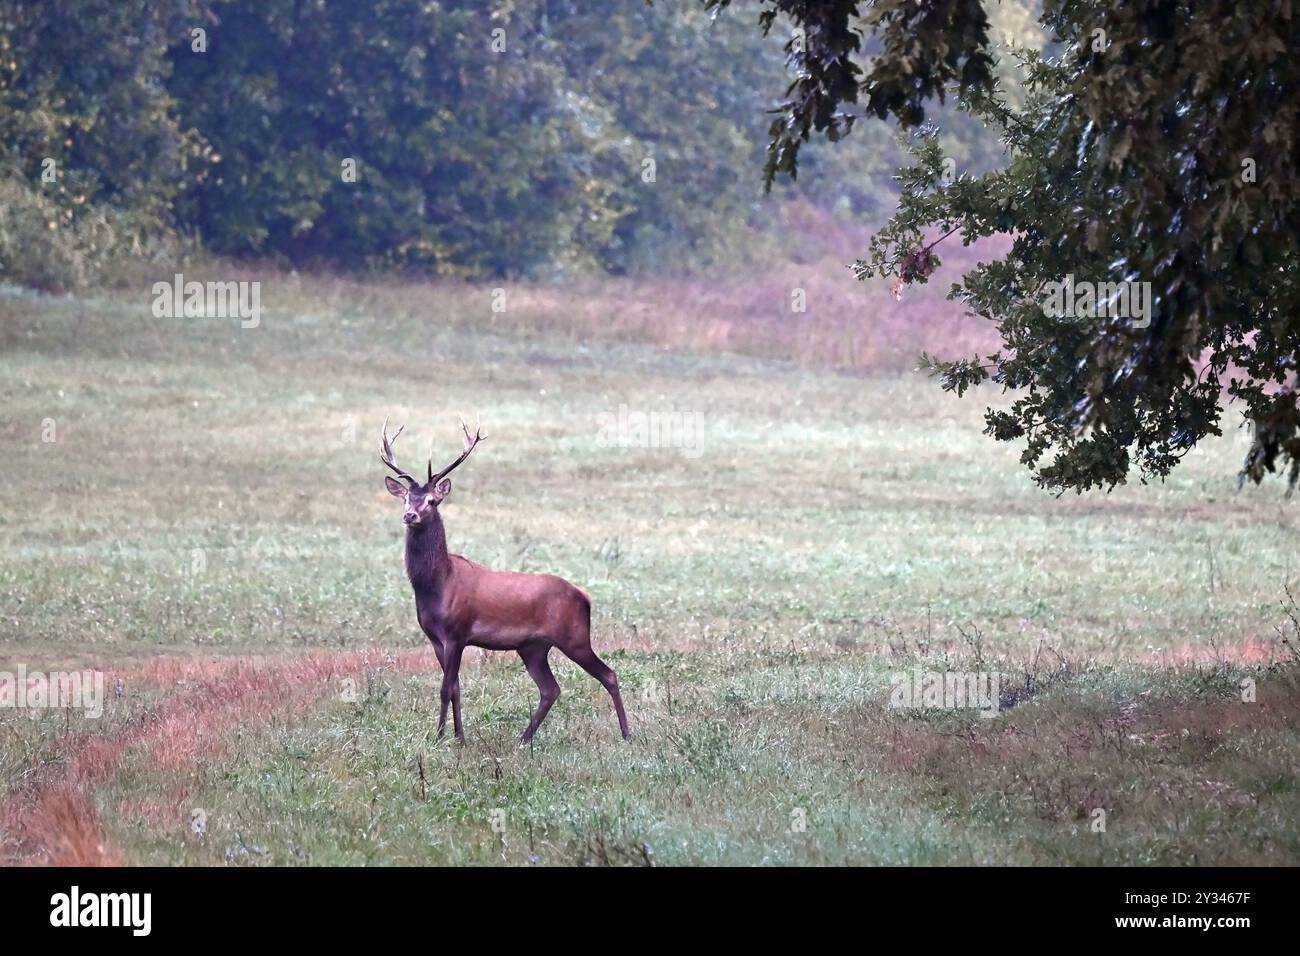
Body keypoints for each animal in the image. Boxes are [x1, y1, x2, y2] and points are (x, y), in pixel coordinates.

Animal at [380, 416, 631, 745]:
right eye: (407, 499)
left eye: (432, 501)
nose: (410, 515)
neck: (437, 587)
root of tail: (585, 597)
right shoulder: (435, 638)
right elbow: (455, 688)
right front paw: (459, 738)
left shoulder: (458, 632)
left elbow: (446, 688)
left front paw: (439, 738)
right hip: (533, 647)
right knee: (551, 689)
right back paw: (524, 739)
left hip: (574, 636)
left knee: (608, 674)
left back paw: (627, 734)